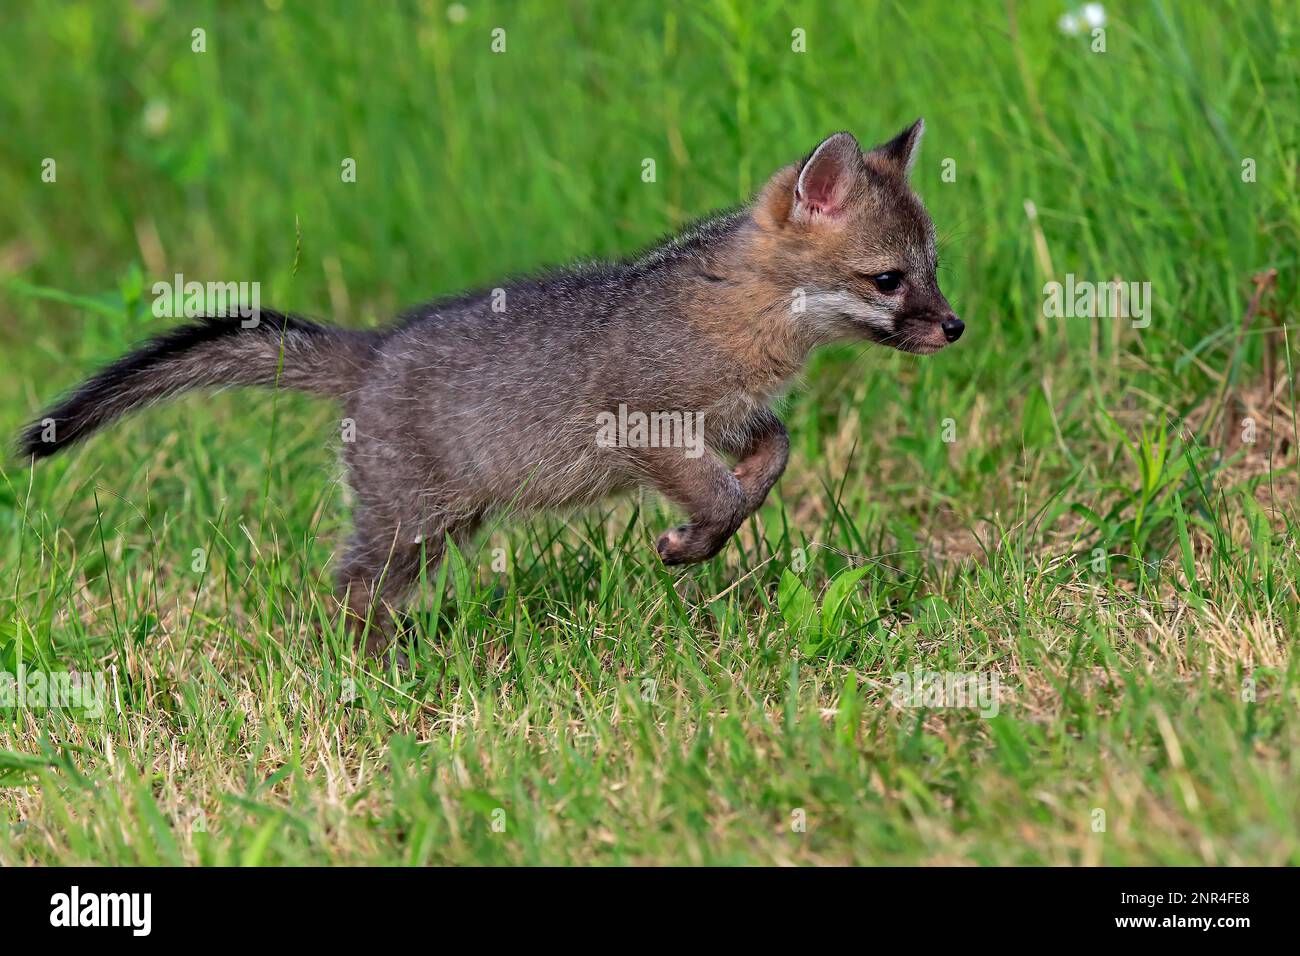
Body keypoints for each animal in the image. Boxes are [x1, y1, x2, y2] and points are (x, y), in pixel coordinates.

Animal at [17, 122, 963, 655]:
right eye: (888, 280)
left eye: (933, 267)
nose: (955, 327)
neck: (743, 313)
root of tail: (375, 347)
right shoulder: (649, 425)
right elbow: (724, 494)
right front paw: (691, 544)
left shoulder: (726, 417)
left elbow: (773, 456)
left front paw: (719, 524)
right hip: (411, 527)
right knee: (347, 588)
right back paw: (377, 668)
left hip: (442, 530)